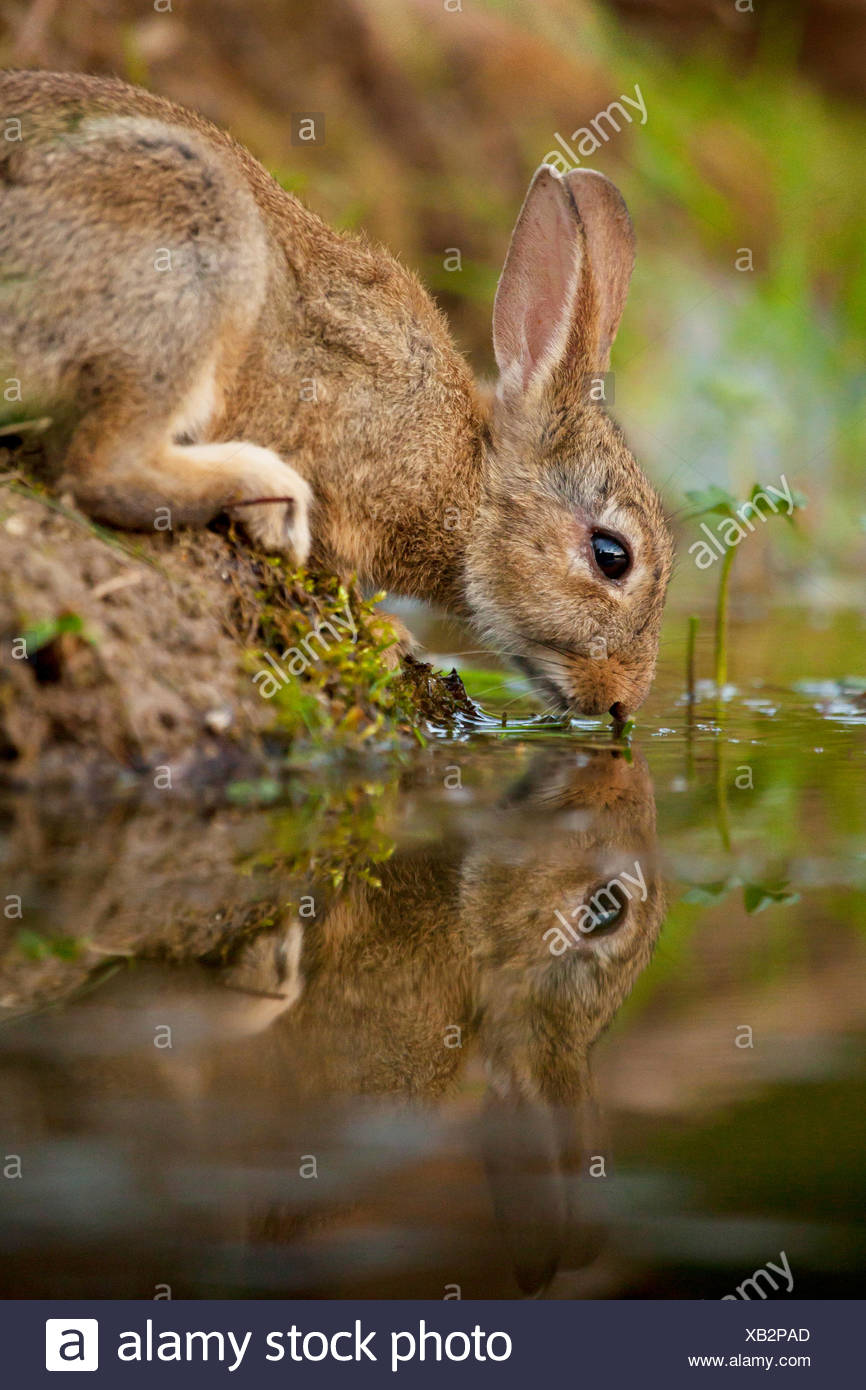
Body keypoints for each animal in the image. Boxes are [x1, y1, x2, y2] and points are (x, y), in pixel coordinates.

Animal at [0, 69, 674, 717]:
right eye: (612, 555)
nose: (622, 702)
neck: (468, 473)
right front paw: (388, 635)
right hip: (187, 249)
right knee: (104, 469)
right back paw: (267, 496)